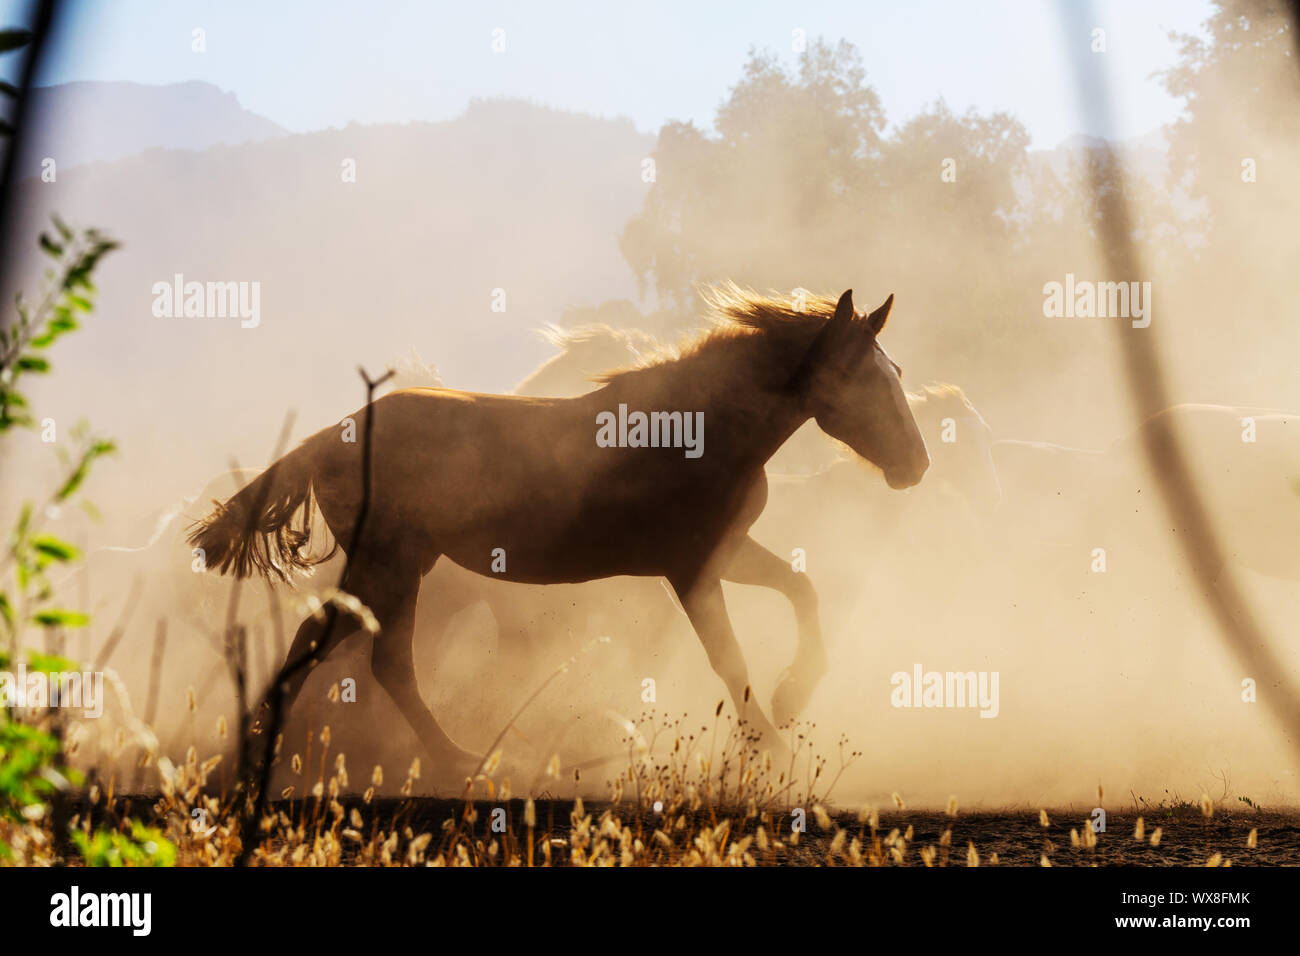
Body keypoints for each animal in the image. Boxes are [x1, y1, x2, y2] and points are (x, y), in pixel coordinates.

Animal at [188, 286, 930, 778]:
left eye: (895, 373)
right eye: (863, 378)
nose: (916, 465)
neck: (701, 429)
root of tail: (332, 433)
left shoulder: (725, 552)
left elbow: (801, 589)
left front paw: (794, 695)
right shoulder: (690, 567)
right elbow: (730, 659)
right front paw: (773, 742)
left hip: (391, 569)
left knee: (322, 645)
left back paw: (260, 749)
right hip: (390, 567)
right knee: (382, 662)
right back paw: (460, 761)